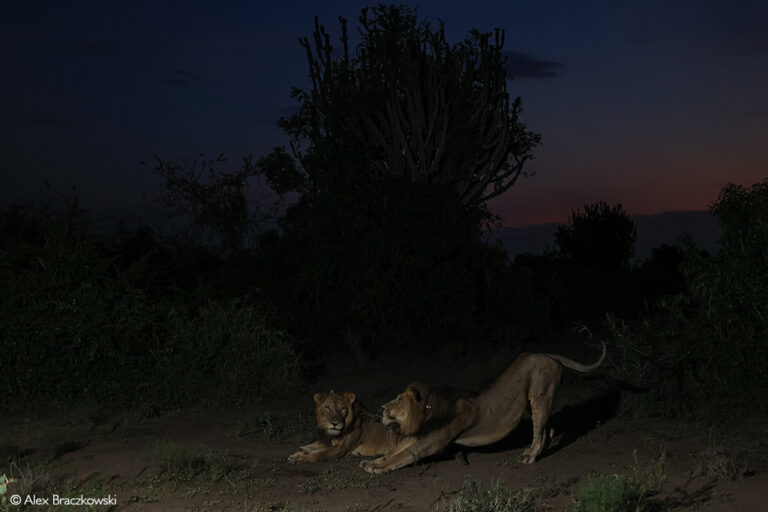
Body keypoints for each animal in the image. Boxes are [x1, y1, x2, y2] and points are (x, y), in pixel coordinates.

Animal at [360, 342, 606, 473]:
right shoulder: (423, 434)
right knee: (548, 428)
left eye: (397, 400)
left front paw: (378, 467)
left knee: (539, 429)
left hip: (539, 393)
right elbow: (395, 451)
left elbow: (404, 455)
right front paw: (373, 461)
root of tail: (548, 353)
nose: (381, 407)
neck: (428, 411)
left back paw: (531, 455)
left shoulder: (433, 441)